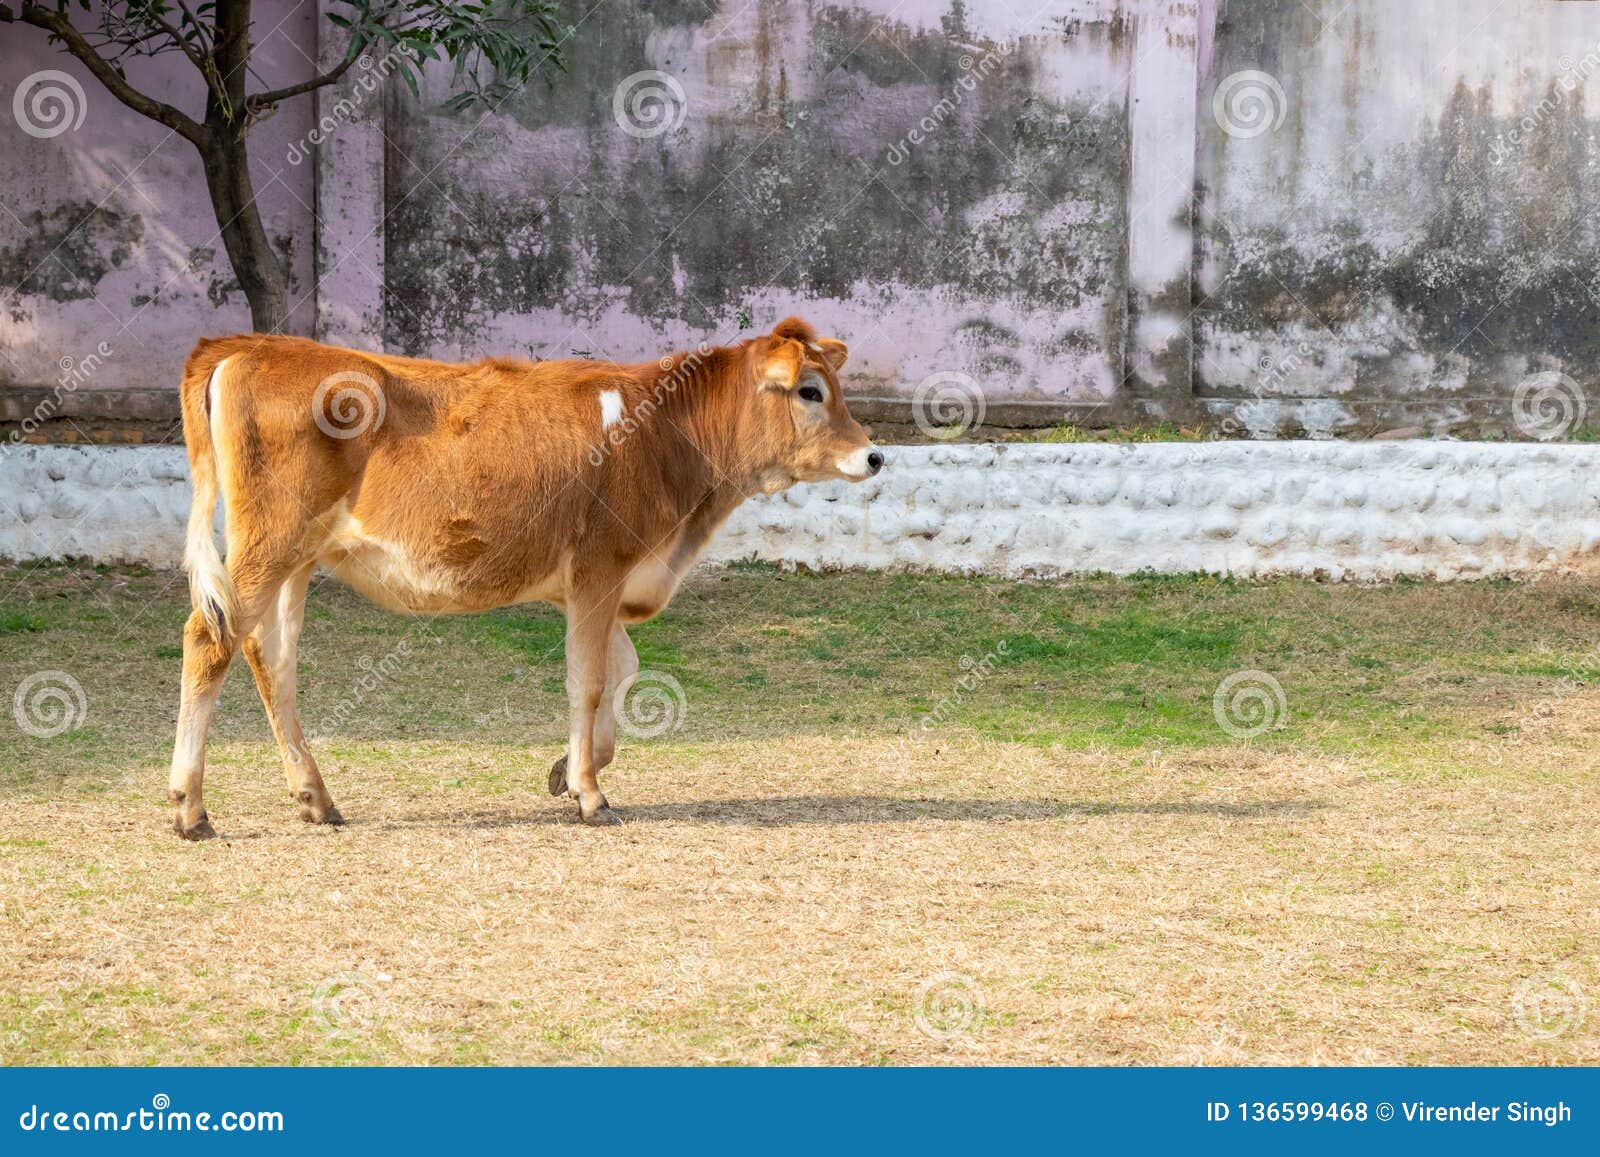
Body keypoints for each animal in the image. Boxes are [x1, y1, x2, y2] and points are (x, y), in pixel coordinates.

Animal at [167, 318, 883, 838]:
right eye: (810, 390)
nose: (875, 454)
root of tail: (251, 344)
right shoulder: (601, 566)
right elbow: (588, 682)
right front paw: (590, 794)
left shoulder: (604, 582)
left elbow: (622, 672)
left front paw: (569, 770)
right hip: (270, 543)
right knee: (210, 639)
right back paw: (190, 809)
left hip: (296, 559)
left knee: (271, 657)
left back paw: (315, 797)